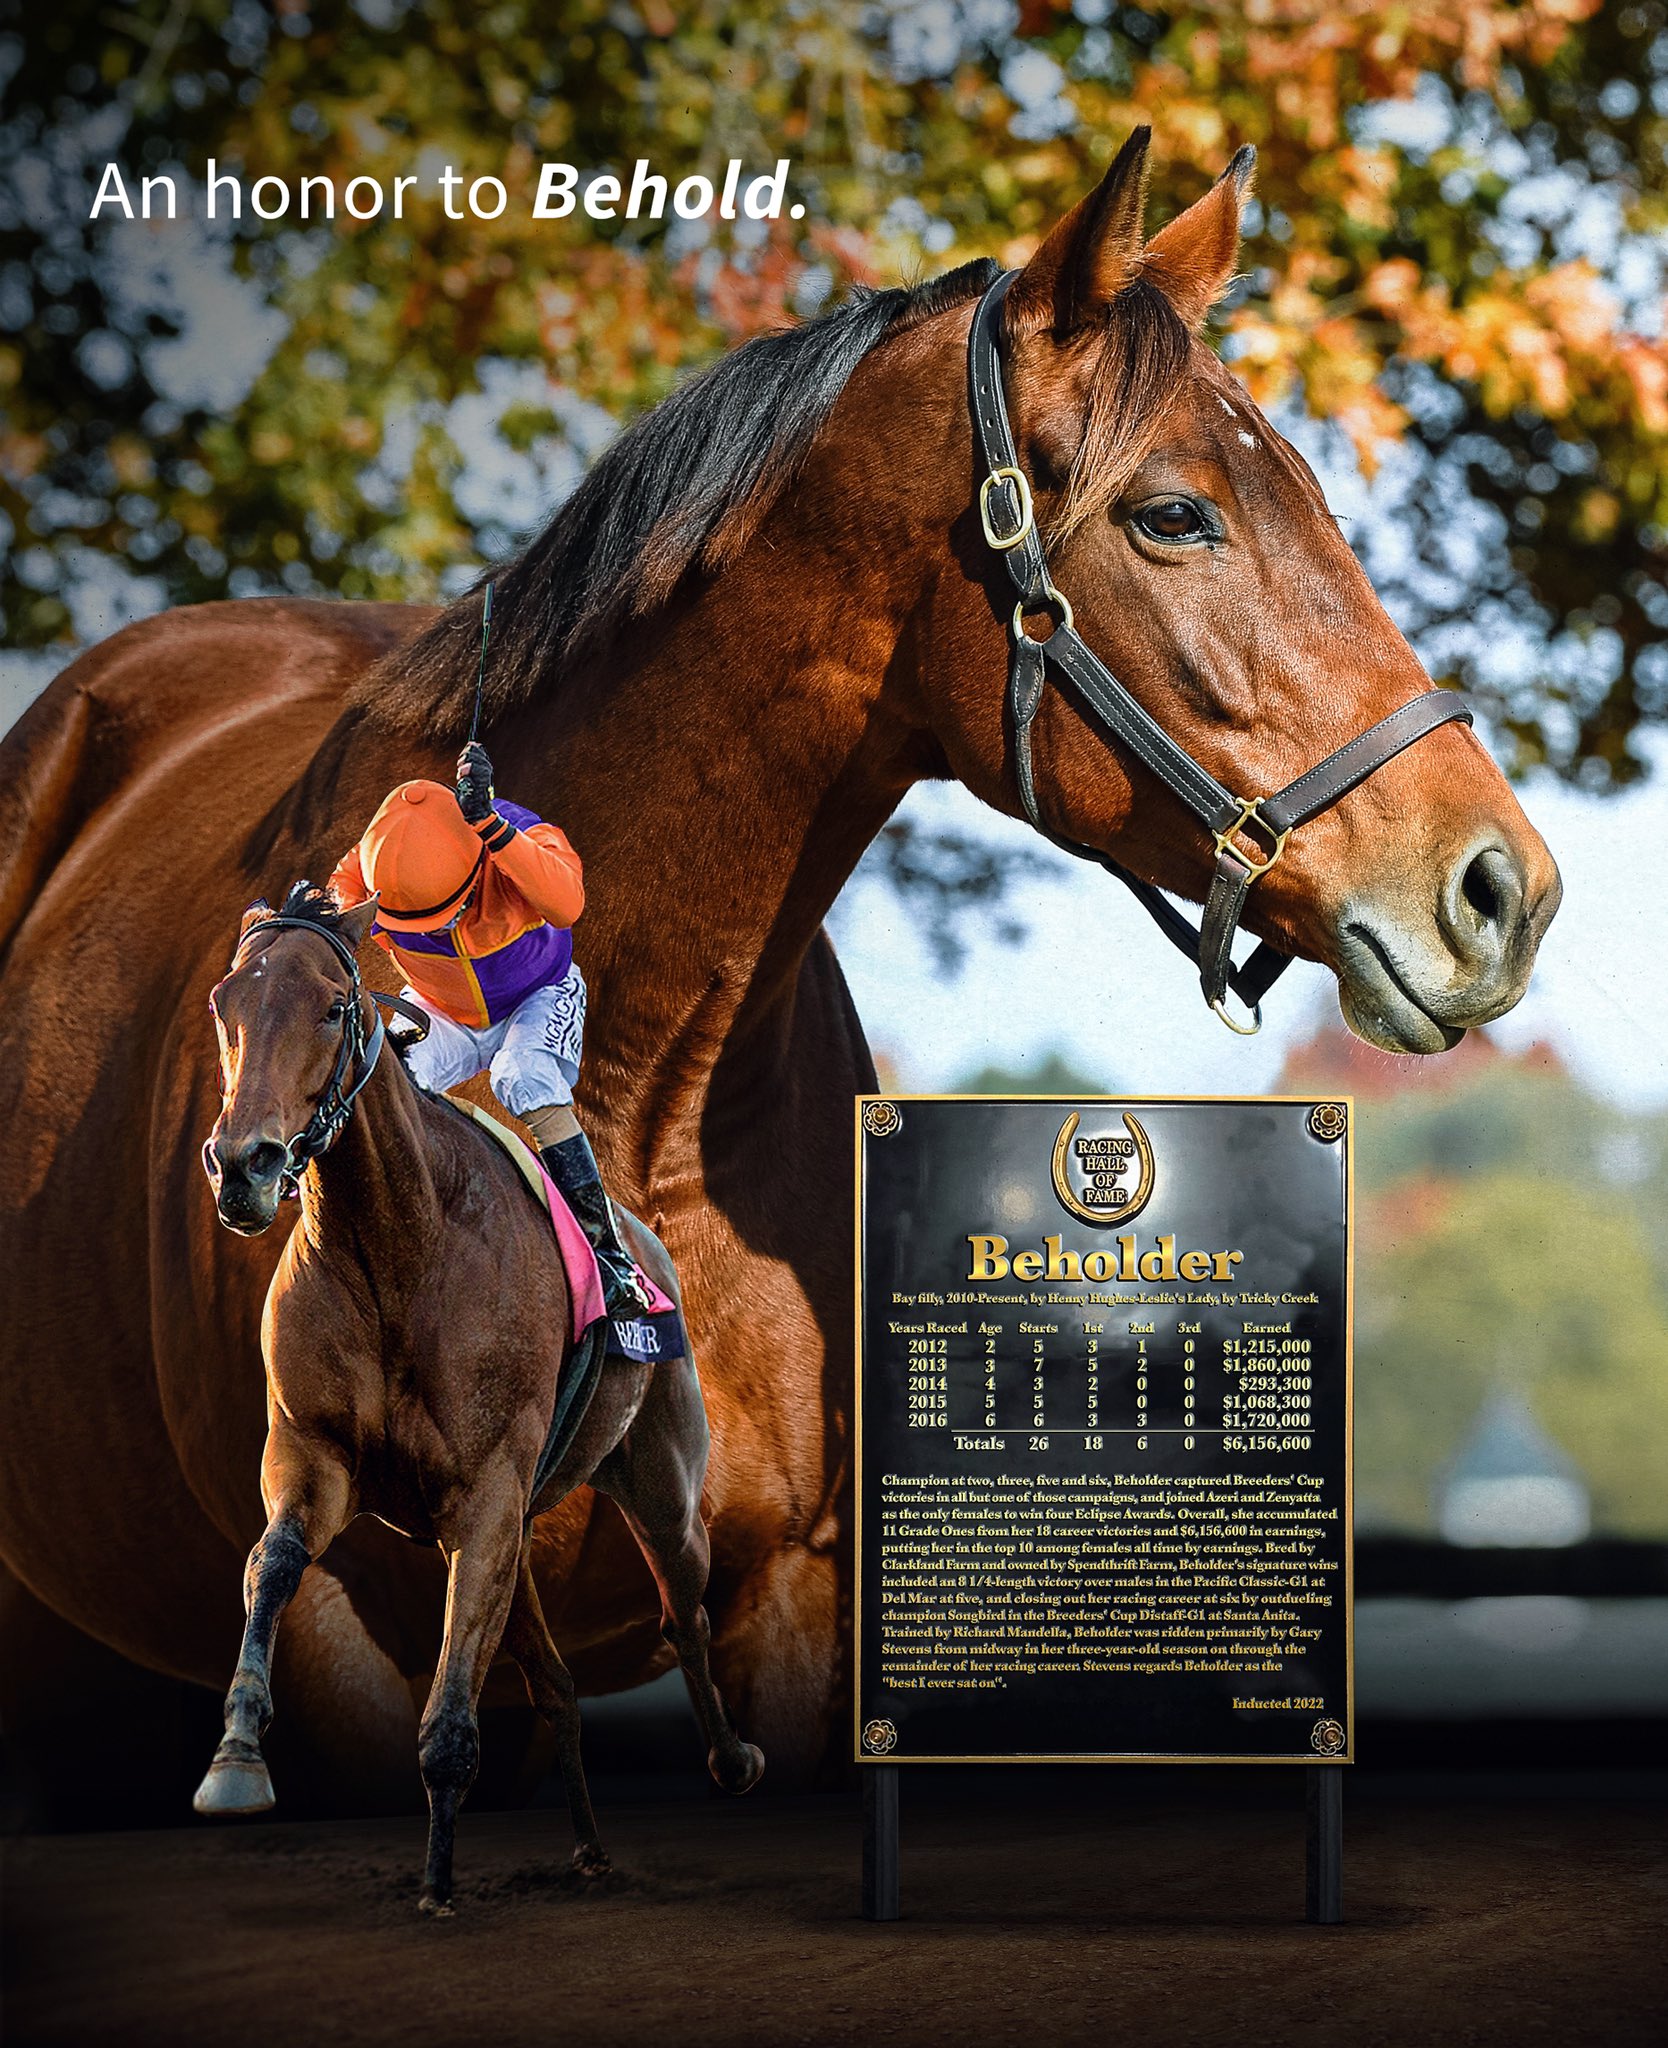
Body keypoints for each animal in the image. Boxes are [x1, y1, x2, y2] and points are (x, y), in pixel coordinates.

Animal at [195, 883, 762, 1910]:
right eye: (227, 1003)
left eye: (333, 1008)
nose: (244, 1166)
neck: (397, 1247)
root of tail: (647, 1236)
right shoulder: (315, 1457)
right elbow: (272, 1564)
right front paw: (236, 1760)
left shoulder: (488, 1490)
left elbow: (453, 1713)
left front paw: (438, 1881)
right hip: (520, 1534)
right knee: (557, 1682)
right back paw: (588, 1847)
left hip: (660, 1483)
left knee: (685, 1612)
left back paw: (733, 1760)